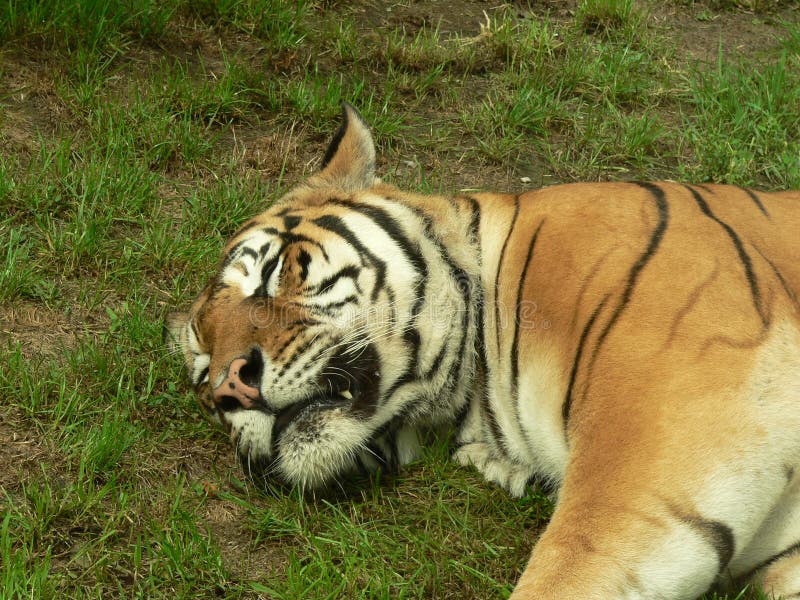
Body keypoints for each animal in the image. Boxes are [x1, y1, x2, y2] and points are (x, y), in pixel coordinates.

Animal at [167, 103, 800, 599]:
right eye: (201, 371)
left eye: (271, 275)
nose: (229, 387)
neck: (476, 402)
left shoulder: (674, 406)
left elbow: (571, 571)